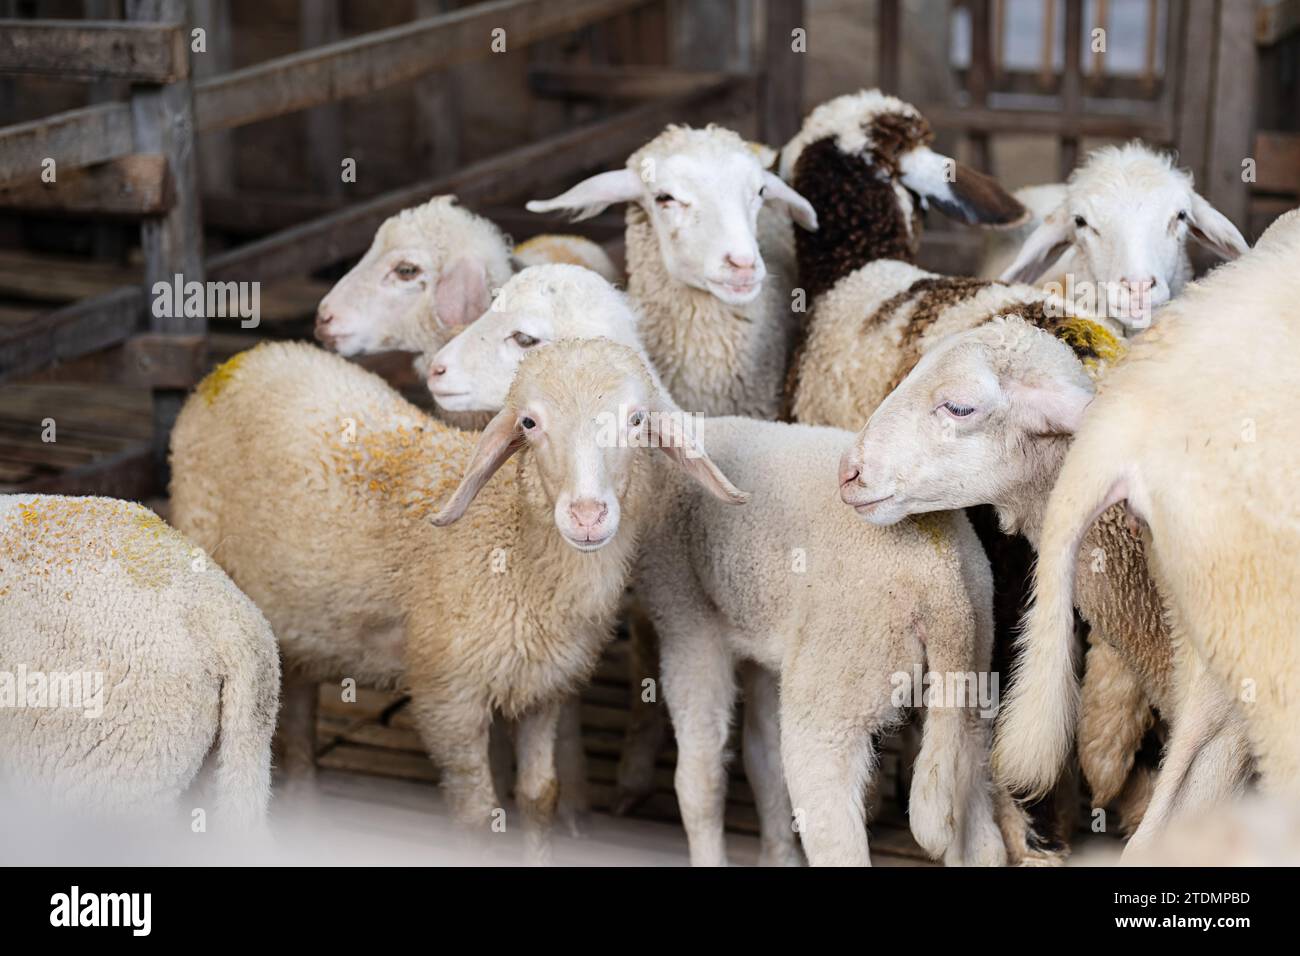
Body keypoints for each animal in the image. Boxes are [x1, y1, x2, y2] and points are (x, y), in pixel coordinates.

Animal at [168, 337, 746, 860]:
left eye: (637, 420)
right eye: (529, 424)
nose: (587, 515)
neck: (512, 549)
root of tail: (247, 357)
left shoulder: (543, 691)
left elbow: (539, 798)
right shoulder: (449, 698)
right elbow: (477, 817)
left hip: (302, 612)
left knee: (303, 690)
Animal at [427, 265, 1006, 868]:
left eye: (524, 338)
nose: (436, 370)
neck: (667, 470)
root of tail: (940, 584)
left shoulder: (689, 623)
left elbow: (699, 781)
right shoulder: (761, 643)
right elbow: (762, 763)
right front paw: (777, 851)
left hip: (838, 686)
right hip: (970, 691)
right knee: (983, 837)